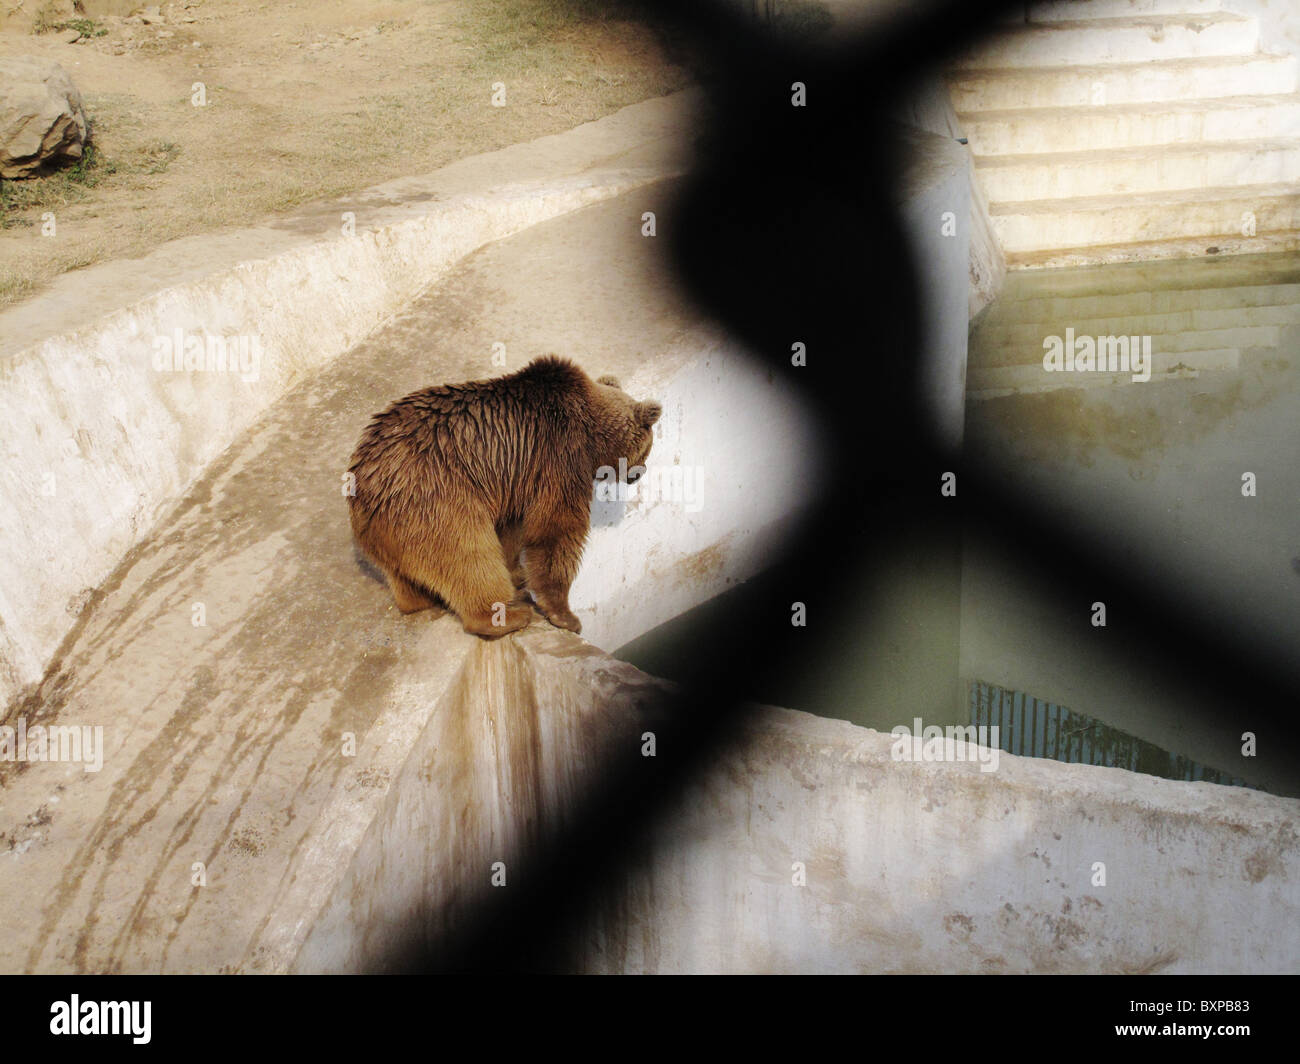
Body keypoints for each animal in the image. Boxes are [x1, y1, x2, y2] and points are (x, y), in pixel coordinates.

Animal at [347, 355, 662, 639]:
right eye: (648, 447)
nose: (641, 472)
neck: (591, 437)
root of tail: (361, 481)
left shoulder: (516, 477)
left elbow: (513, 530)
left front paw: (518, 574)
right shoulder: (558, 458)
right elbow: (555, 532)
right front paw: (565, 615)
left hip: (391, 524)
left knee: (406, 574)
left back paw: (420, 599)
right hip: (434, 496)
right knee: (467, 553)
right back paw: (504, 617)